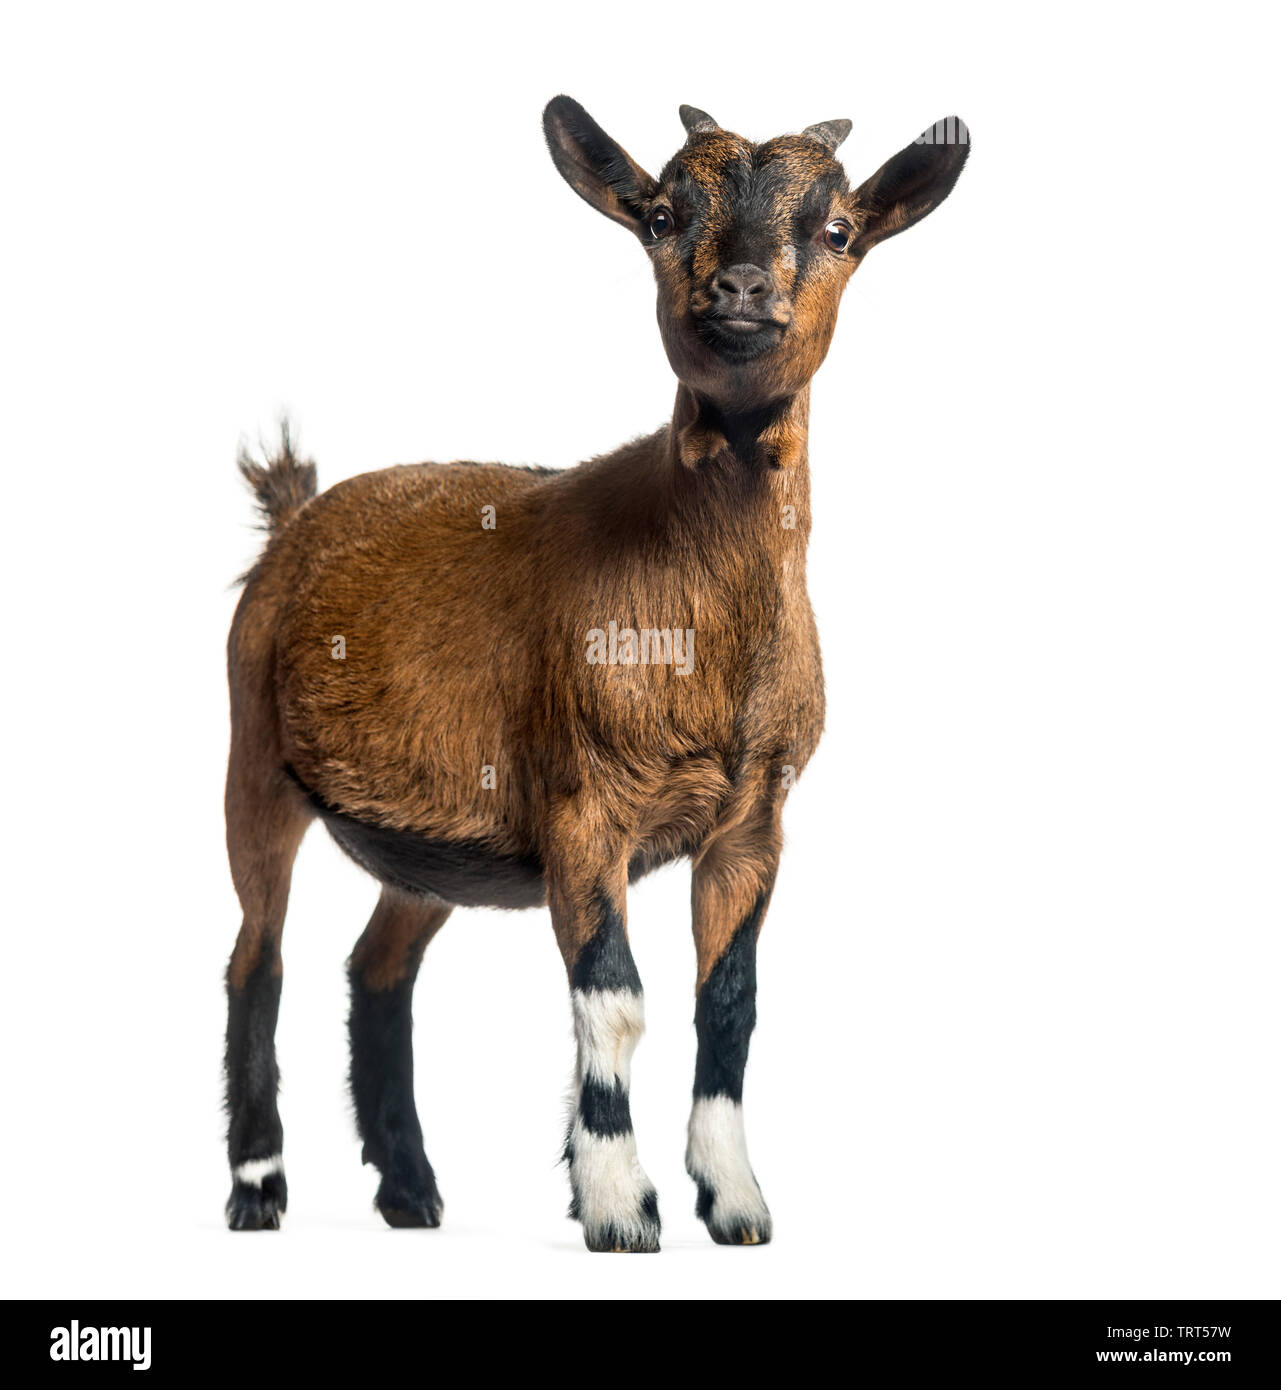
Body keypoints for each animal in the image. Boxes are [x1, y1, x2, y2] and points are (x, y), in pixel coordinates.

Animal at [224, 97, 970, 1251]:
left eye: (839, 228)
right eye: (661, 215)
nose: (739, 290)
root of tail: (295, 515)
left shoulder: (753, 821)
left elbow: (730, 1001)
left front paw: (732, 1199)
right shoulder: (585, 808)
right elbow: (613, 1000)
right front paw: (621, 1205)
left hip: (431, 847)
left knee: (377, 967)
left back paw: (410, 1191)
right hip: (254, 759)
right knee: (257, 959)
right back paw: (259, 1187)